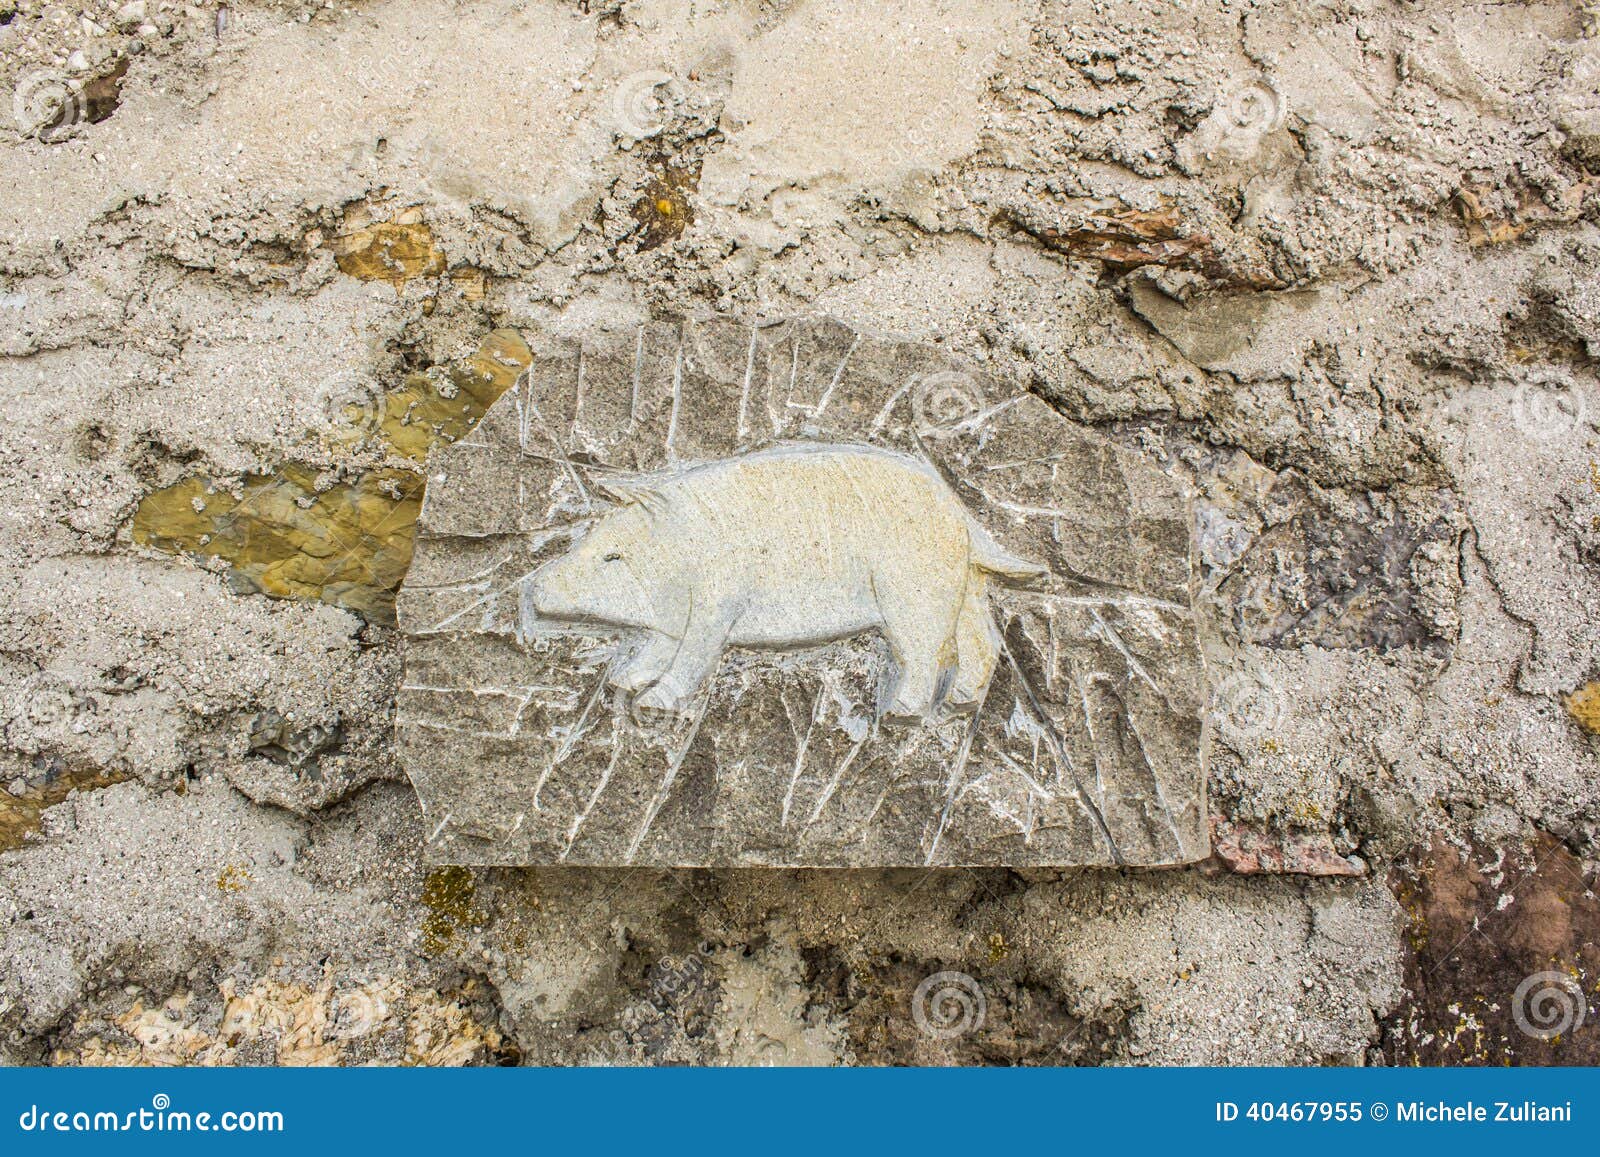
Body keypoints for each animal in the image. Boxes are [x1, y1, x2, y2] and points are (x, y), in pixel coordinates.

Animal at [527, 443, 1047, 718]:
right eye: (591, 538)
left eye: (613, 555)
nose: (535, 585)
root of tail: (959, 512)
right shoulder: (671, 619)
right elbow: (656, 647)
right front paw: (621, 680)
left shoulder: (718, 601)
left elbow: (693, 654)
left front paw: (655, 704)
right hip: (964, 583)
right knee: (980, 639)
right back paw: (960, 702)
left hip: (912, 586)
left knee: (925, 651)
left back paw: (899, 712)